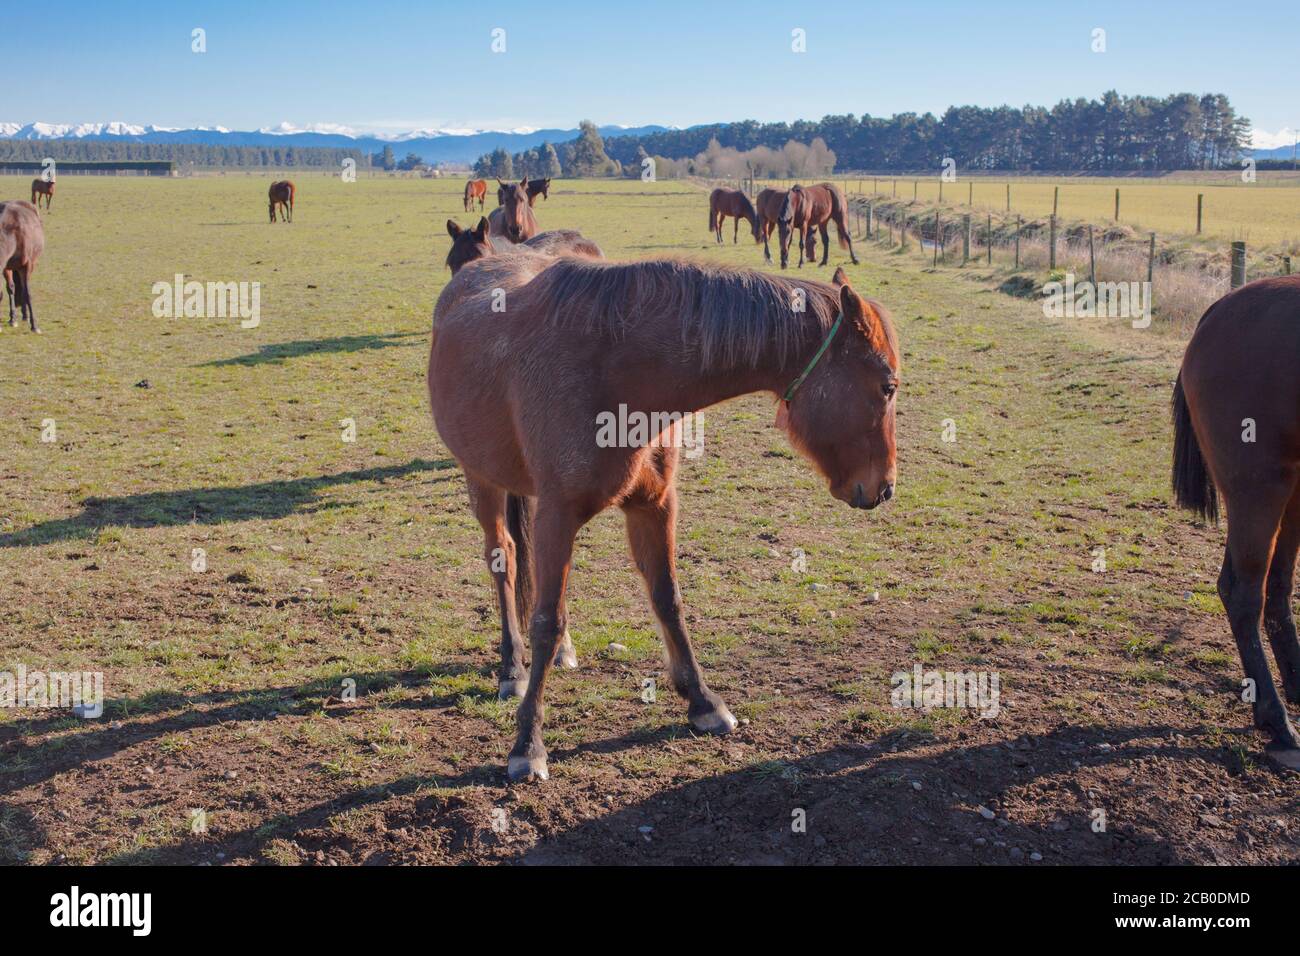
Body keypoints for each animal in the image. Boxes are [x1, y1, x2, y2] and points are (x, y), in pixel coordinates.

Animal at [0, 200, 46, 333]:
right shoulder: (6, 267)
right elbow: (10, 288)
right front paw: (12, 319)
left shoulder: (26, 266)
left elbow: (27, 293)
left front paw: (34, 326)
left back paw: (25, 316)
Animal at [428, 259, 899, 781]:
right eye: (887, 386)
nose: (884, 487)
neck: (616, 372)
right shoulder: (559, 513)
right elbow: (546, 620)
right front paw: (527, 744)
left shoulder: (653, 505)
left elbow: (667, 599)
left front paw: (702, 701)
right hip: (481, 479)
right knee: (505, 561)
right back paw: (512, 668)